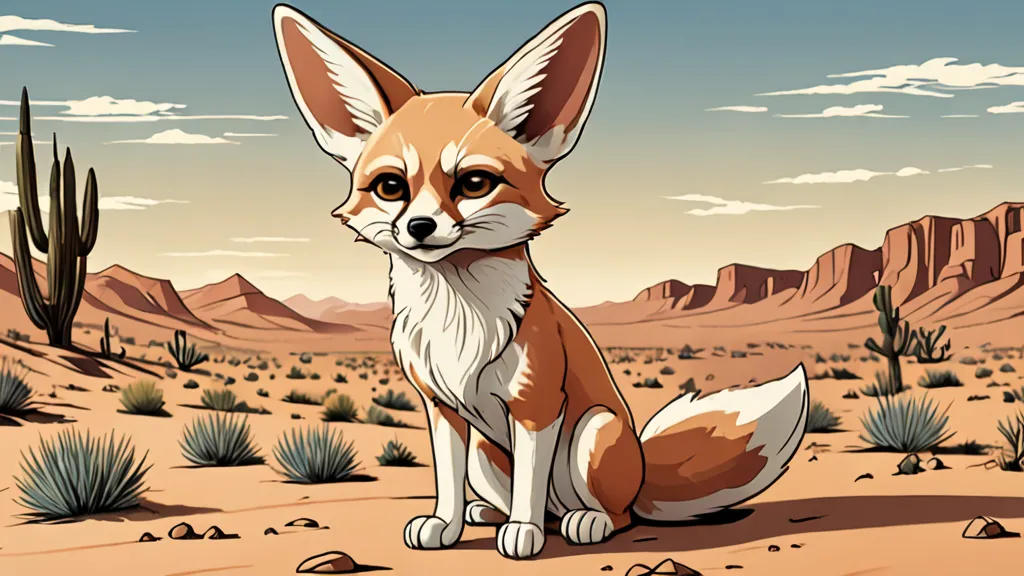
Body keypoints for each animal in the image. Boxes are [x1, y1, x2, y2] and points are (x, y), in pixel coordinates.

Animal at [273, 2, 809, 560]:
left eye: (474, 183)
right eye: (390, 187)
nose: (419, 227)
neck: (458, 316)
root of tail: (641, 480)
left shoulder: (537, 405)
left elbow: (531, 480)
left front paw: (523, 534)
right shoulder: (441, 408)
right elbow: (447, 480)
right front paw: (445, 524)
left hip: (592, 432)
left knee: (609, 514)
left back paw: (583, 521)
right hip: (486, 452)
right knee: (528, 499)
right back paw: (491, 514)